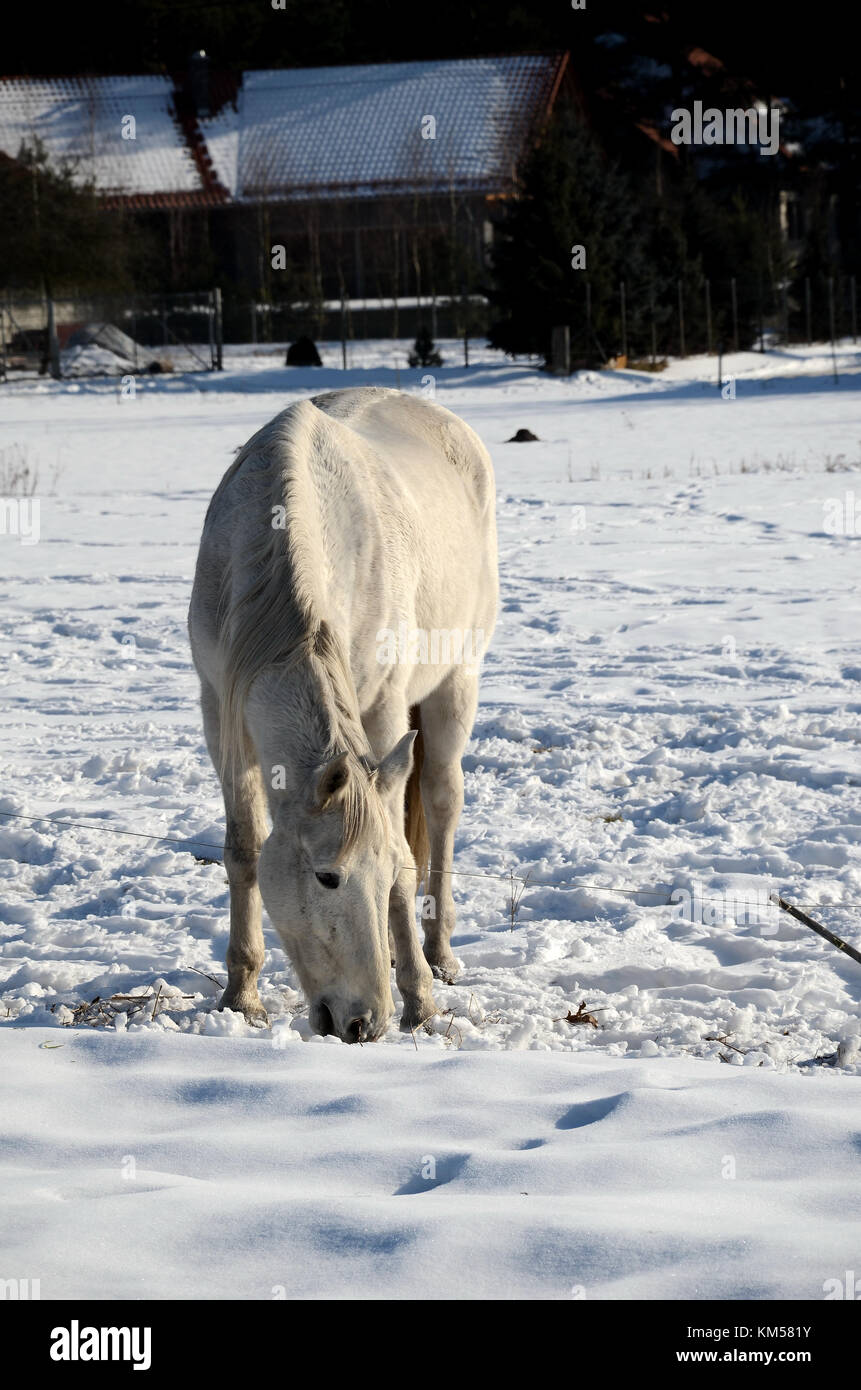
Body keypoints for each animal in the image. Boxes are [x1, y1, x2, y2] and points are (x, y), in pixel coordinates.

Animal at [188, 387, 498, 1043]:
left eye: (375, 878)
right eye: (328, 876)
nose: (361, 1022)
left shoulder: (383, 712)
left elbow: (406, 857)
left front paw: (420, 1002)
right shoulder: (220, 712)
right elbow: (243, 848)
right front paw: (242, 996)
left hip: (456, 684)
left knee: (442, 804)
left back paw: (439, 953)